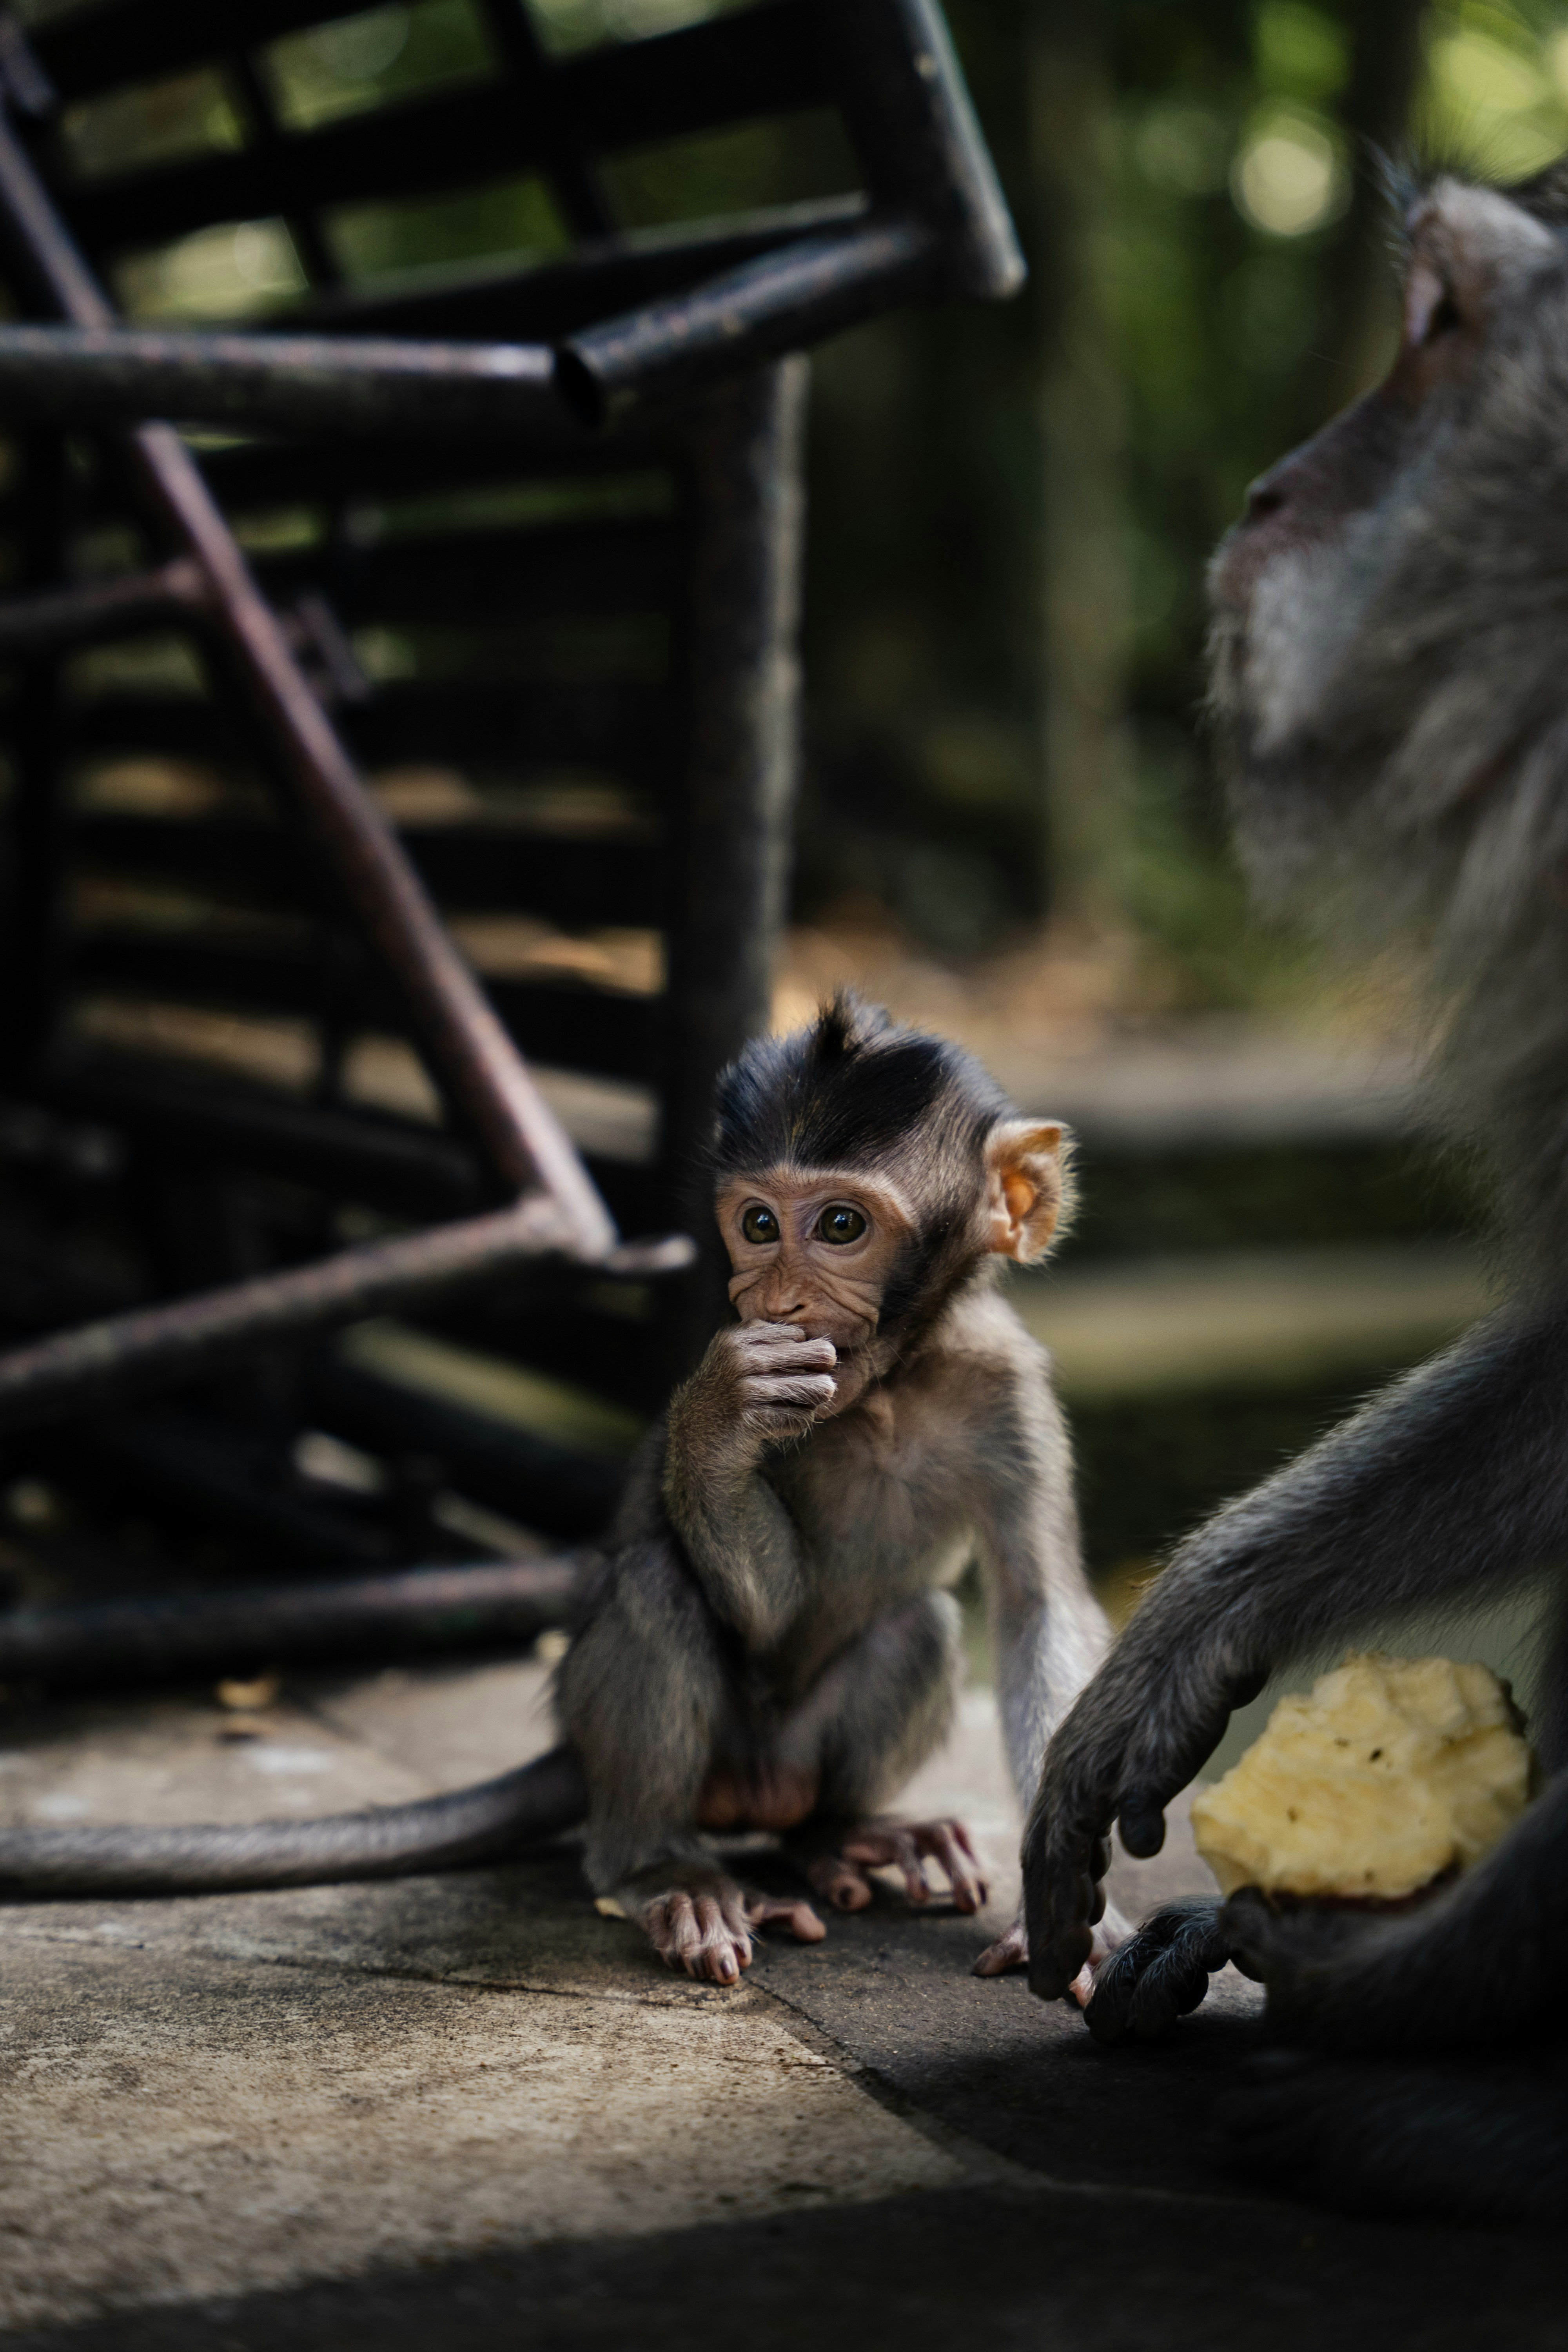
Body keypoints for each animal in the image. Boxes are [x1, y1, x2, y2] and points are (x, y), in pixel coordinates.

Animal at [0, 996, 1119, 1989]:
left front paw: (1062, 1892)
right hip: (666, 1758)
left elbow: (1037, 1608)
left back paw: (837, 1836)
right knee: (657, 1586)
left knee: (916, 1625)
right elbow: (758, 1607)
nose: (777, 1299)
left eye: (840, 1224)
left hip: (785, 1763)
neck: (886, 1387)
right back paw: (663, 1871)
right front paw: (719, 1420)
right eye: (759, 1223)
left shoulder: (1006, 1388)